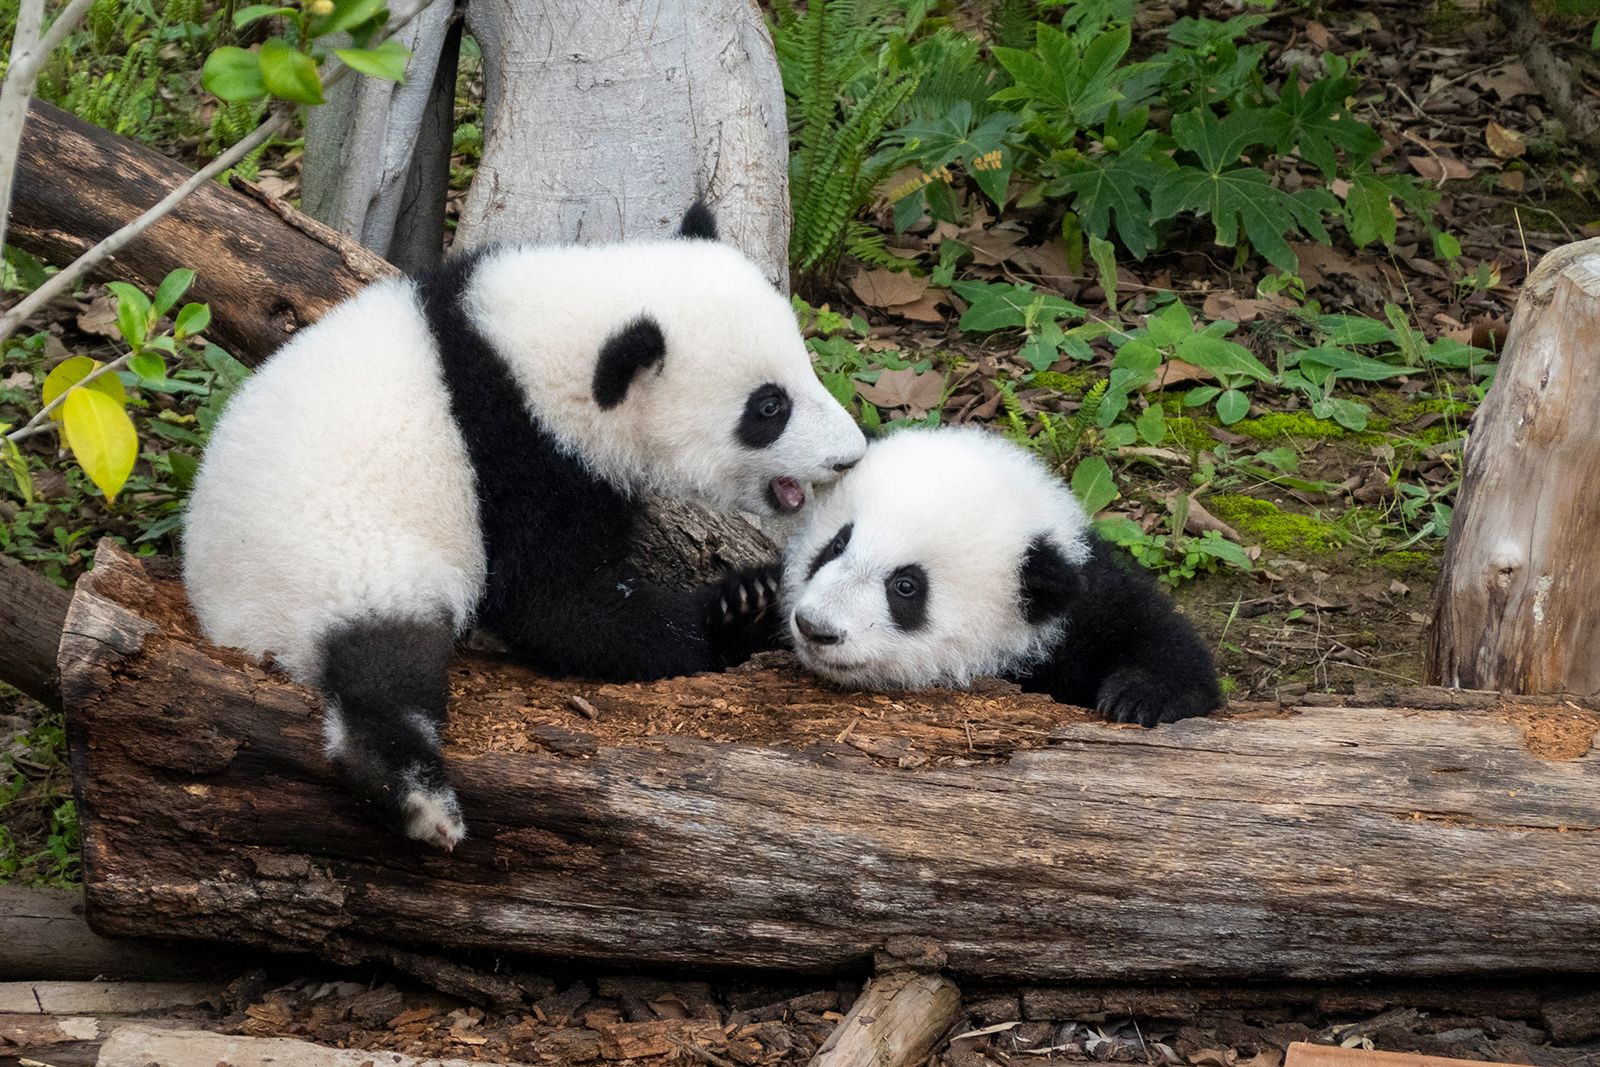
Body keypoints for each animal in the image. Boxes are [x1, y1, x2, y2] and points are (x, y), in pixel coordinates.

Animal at [183, 204, 866, 849]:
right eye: (769, 408)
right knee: (382, 665)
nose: (849, 455)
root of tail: (221, 615)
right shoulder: (516, 457)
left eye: (805, 368)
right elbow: (554, 605)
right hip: (337, 558)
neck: (528, 349)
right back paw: (418, 797)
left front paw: (748, 598)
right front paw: (731, 613)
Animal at [778, 425, 1222, 725]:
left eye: (905, 586)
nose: (815, 627)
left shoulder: (1083, 607)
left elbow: (1155, 633)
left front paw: (1139, 696)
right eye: (837, 544)